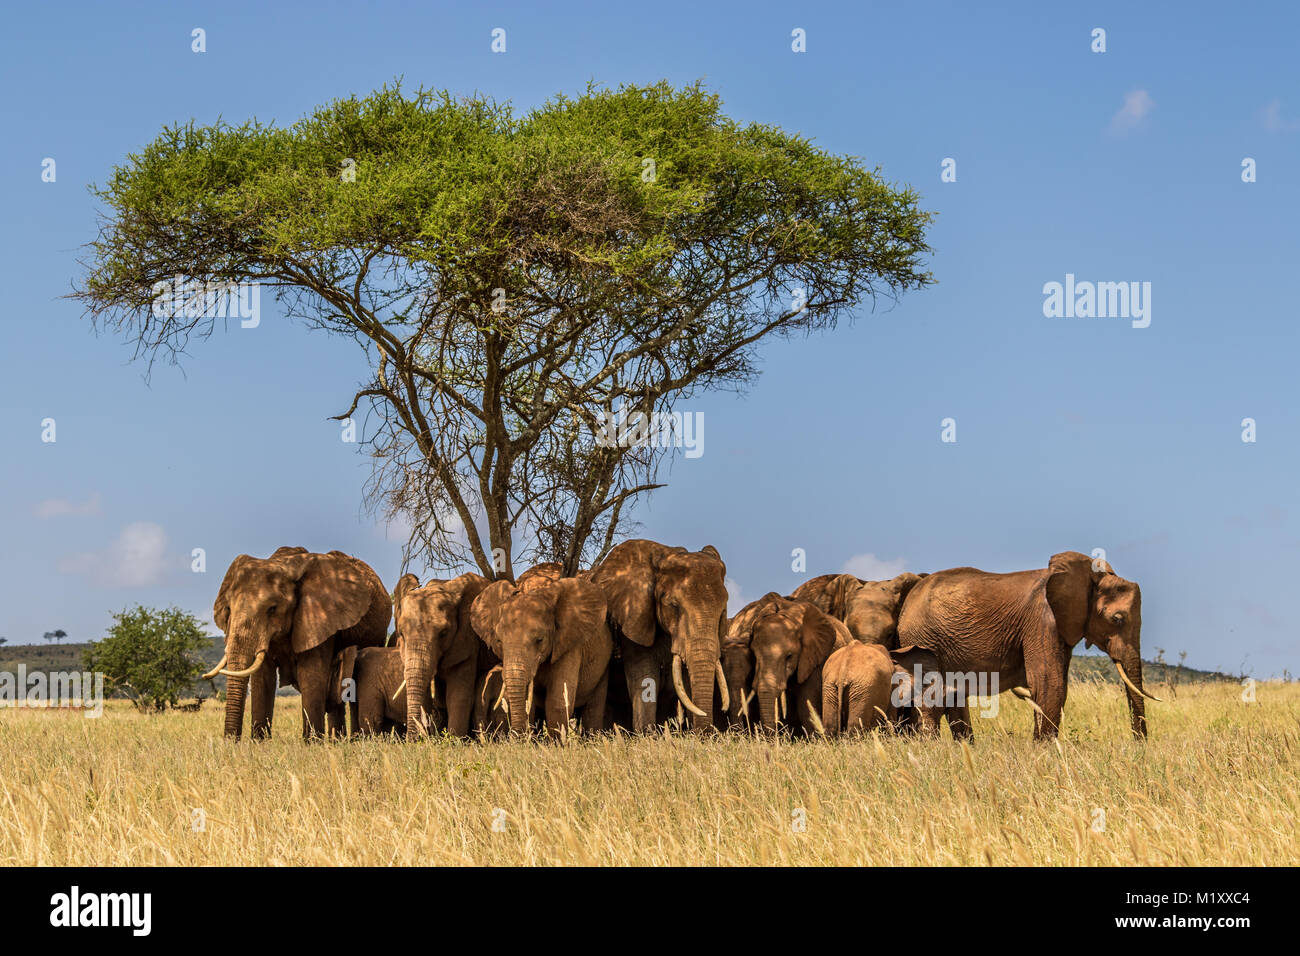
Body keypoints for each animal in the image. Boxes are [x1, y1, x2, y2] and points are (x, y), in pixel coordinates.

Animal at [207, 547, 391, 740]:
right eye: (228, 609)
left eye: (272, 609)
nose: (231, 742)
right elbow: (263, 678)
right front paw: (259, 743)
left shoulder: (320, 620)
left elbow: (311, 674)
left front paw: (312, 743)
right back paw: (338, 741)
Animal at [392, 571, 491, 739]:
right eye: (401, 634)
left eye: (443, 633)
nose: (412, 740)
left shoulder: (468, 639)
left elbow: (458, 695)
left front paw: (454, 740)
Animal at [470, 569, 612, 736]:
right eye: (499, 641)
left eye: (540, 640)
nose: (516, 736)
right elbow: (528, 703)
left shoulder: (569, 646)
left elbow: (557, 702)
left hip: (603, 668)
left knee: (593, 712)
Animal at [896, 550, 1158, 740]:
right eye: (1117, 619)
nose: (1138, 746)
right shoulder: (1042, 620)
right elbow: (1049, 684)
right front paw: (1044, 752)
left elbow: (1057, 686)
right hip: (922, 639)